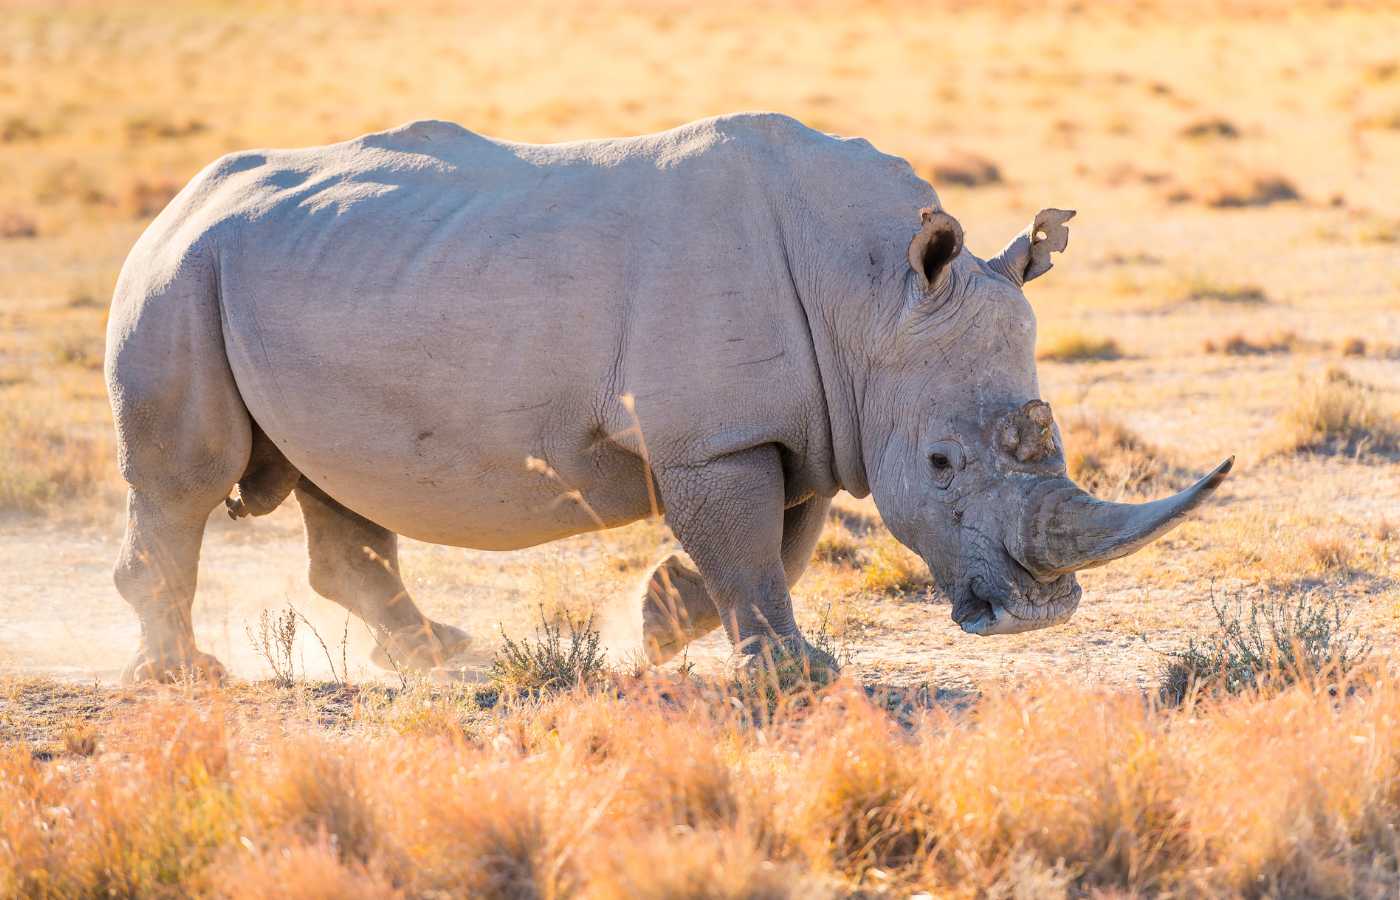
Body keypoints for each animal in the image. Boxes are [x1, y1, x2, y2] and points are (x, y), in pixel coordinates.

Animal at [105, 113, 1231, 682]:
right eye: (942, 466)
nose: (1035, 618)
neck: (873, 296)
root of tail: (179, 201)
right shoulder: (714, 436)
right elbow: (748, 549)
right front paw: (798, 677)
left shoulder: (793, 426)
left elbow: (772, 546)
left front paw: (652, 630)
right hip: (179, 275)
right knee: (186, 482)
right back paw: (185, 679)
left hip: (288, 277)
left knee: (337, 484)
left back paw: (439, 657)